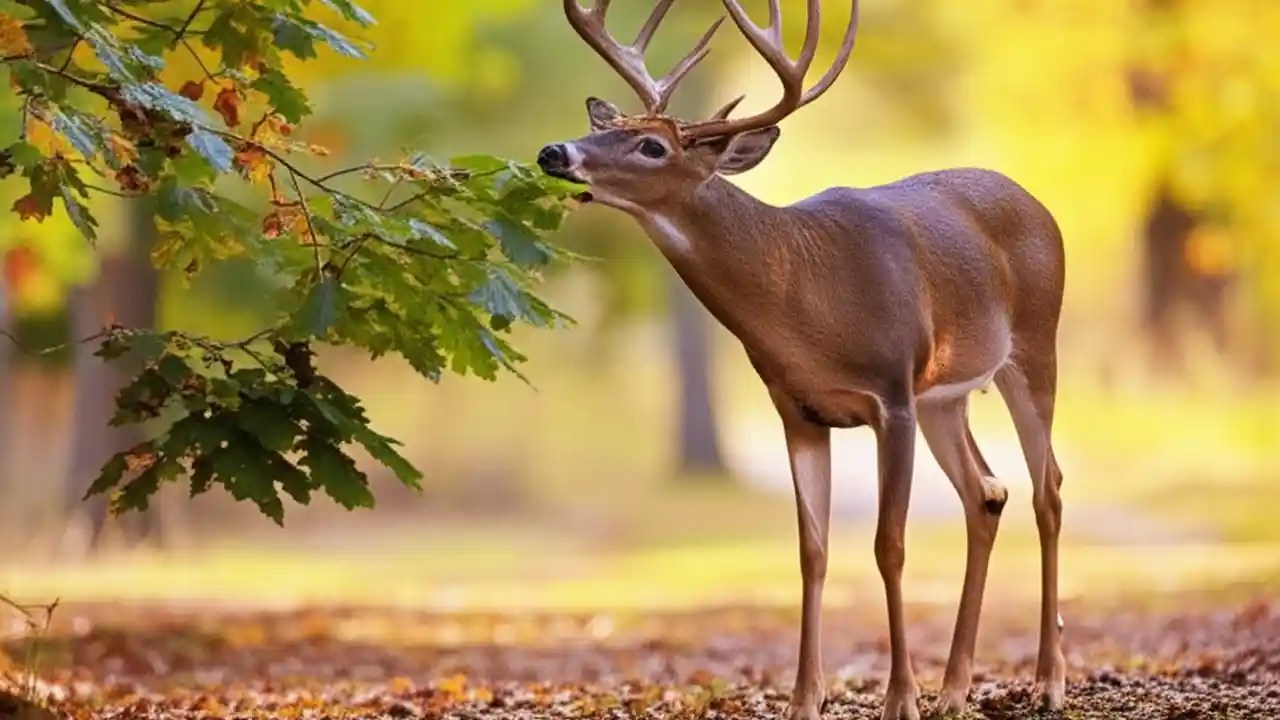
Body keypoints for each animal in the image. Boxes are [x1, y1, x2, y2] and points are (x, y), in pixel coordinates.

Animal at [537, 1, 1067, 718]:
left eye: (653, 146)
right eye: (611, 125)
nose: (555, 152)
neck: (804, 303)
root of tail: (1039, 204)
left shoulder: (891, 395)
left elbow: (889, 545)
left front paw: (900, 699)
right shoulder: (798, 409)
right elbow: (811, 551)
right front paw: (803, 700)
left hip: (1035, 345)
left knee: (1048, 489)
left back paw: (1048, 681)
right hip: (947, 395)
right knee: (986, 493)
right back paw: (956, 690)